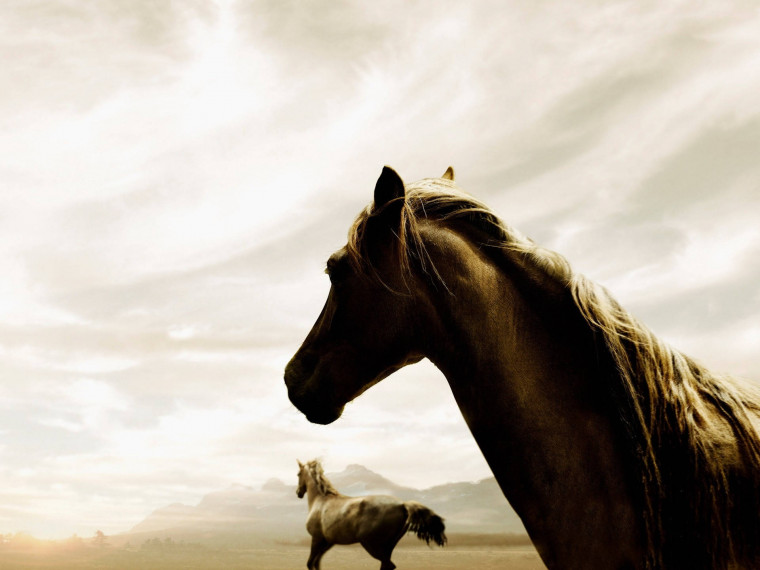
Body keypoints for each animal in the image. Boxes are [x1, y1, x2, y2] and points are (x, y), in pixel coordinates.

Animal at [295, 459, 446, 570]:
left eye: (298, 474)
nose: (298, 493)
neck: (320, 500)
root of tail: (402, 505)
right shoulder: (328, 541)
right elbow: (316, 563)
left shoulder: (316, 538)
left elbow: (310, 563)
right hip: (387, 546)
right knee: (387, 565)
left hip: (370, 543)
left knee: (388, 565)